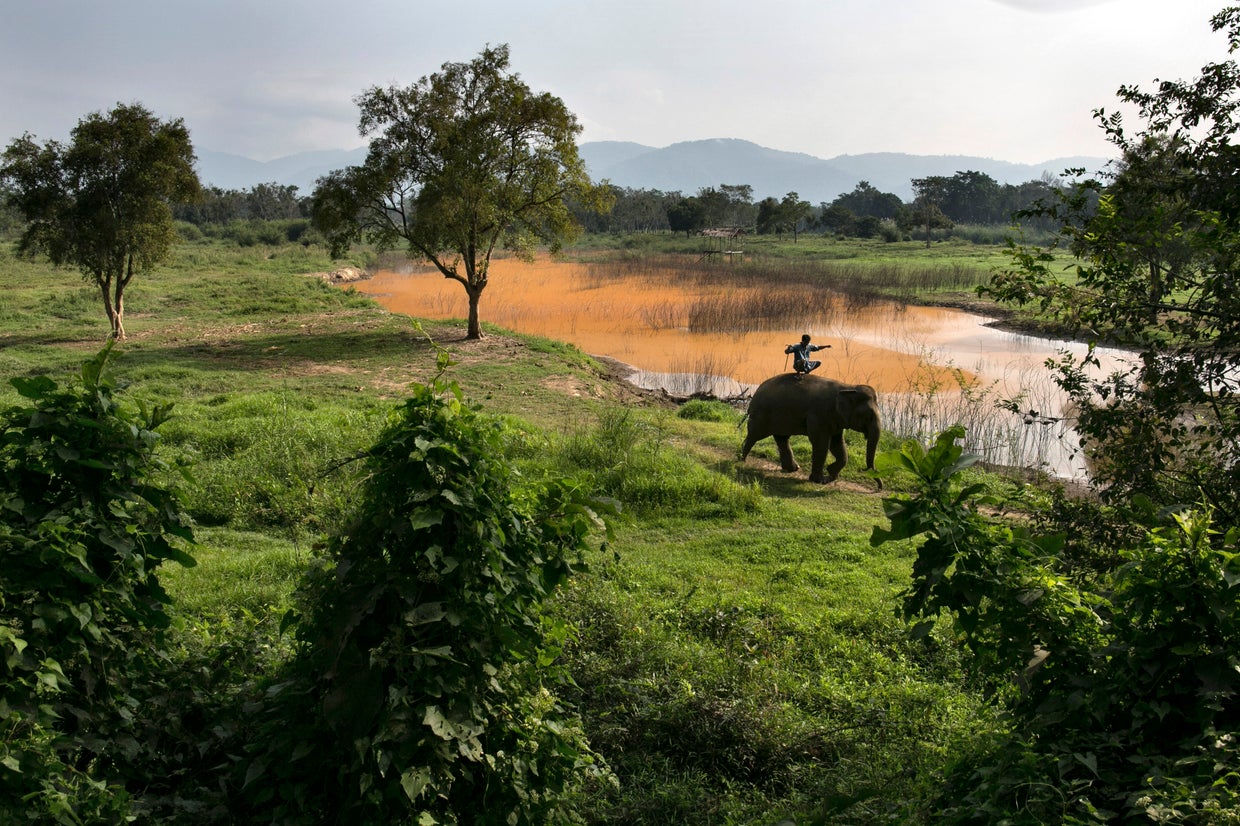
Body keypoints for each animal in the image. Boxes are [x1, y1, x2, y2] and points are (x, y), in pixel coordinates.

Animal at [740, 373, 881, 485]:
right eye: (869, 416)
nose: (879, 487)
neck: (848, 387)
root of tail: (755, 393)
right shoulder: (820, 414)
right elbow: (821, 443)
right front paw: (820, 480)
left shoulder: (836, 418)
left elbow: (837, 444)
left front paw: (831, 475)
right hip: (761, 415)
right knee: (755, 435)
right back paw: (741, 459)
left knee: (782, 438)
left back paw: (793, 468)